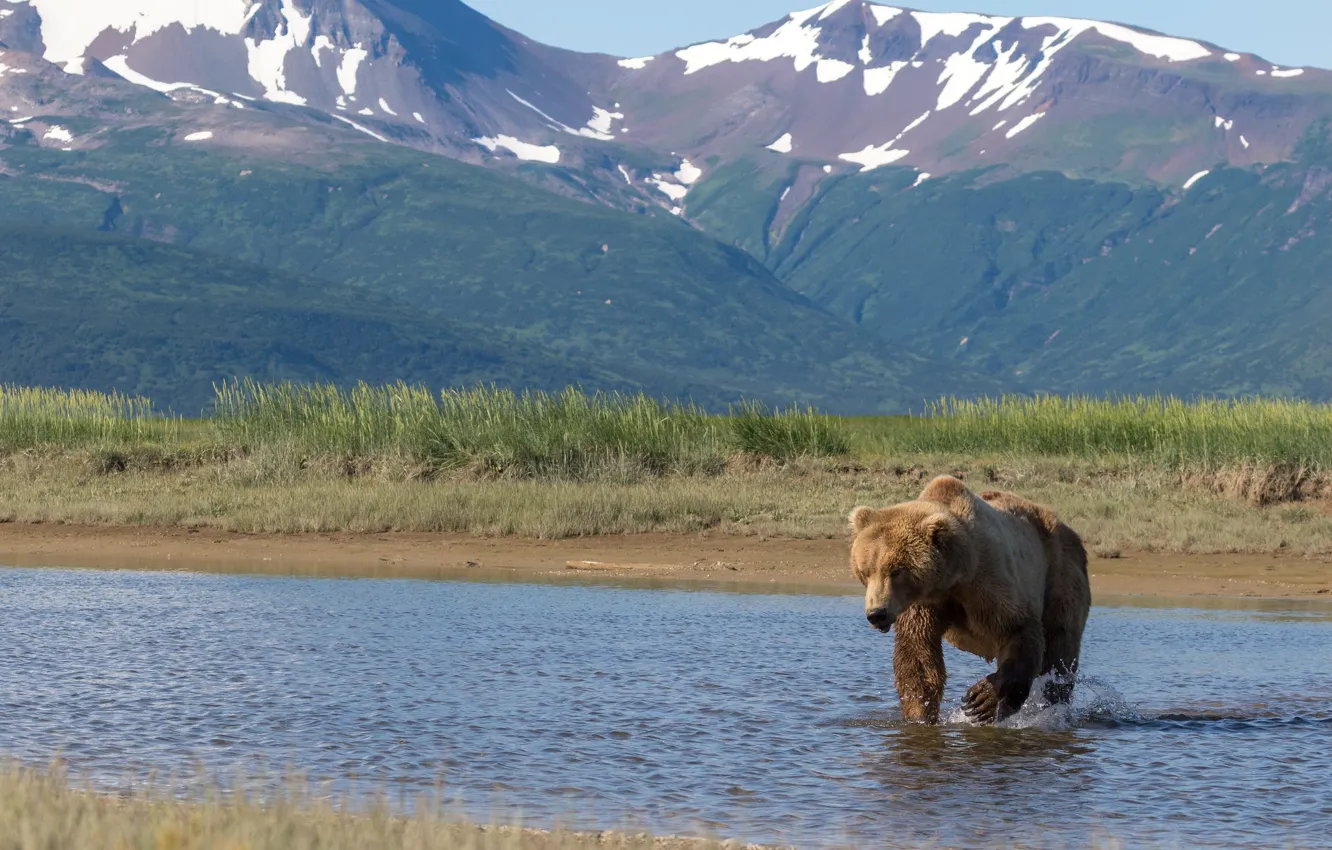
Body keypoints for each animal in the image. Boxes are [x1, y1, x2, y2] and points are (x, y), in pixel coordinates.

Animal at [848, 475, 1091, 725]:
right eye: (865, 571)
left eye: (896, 571)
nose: (876, 613)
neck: (951, 577)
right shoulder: (925, 603)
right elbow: (918, 656)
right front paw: (920, 714)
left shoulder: (986, 584)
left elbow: (1018, 628)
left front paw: (981, 699)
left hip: (1060, 574)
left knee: (1059, 649)